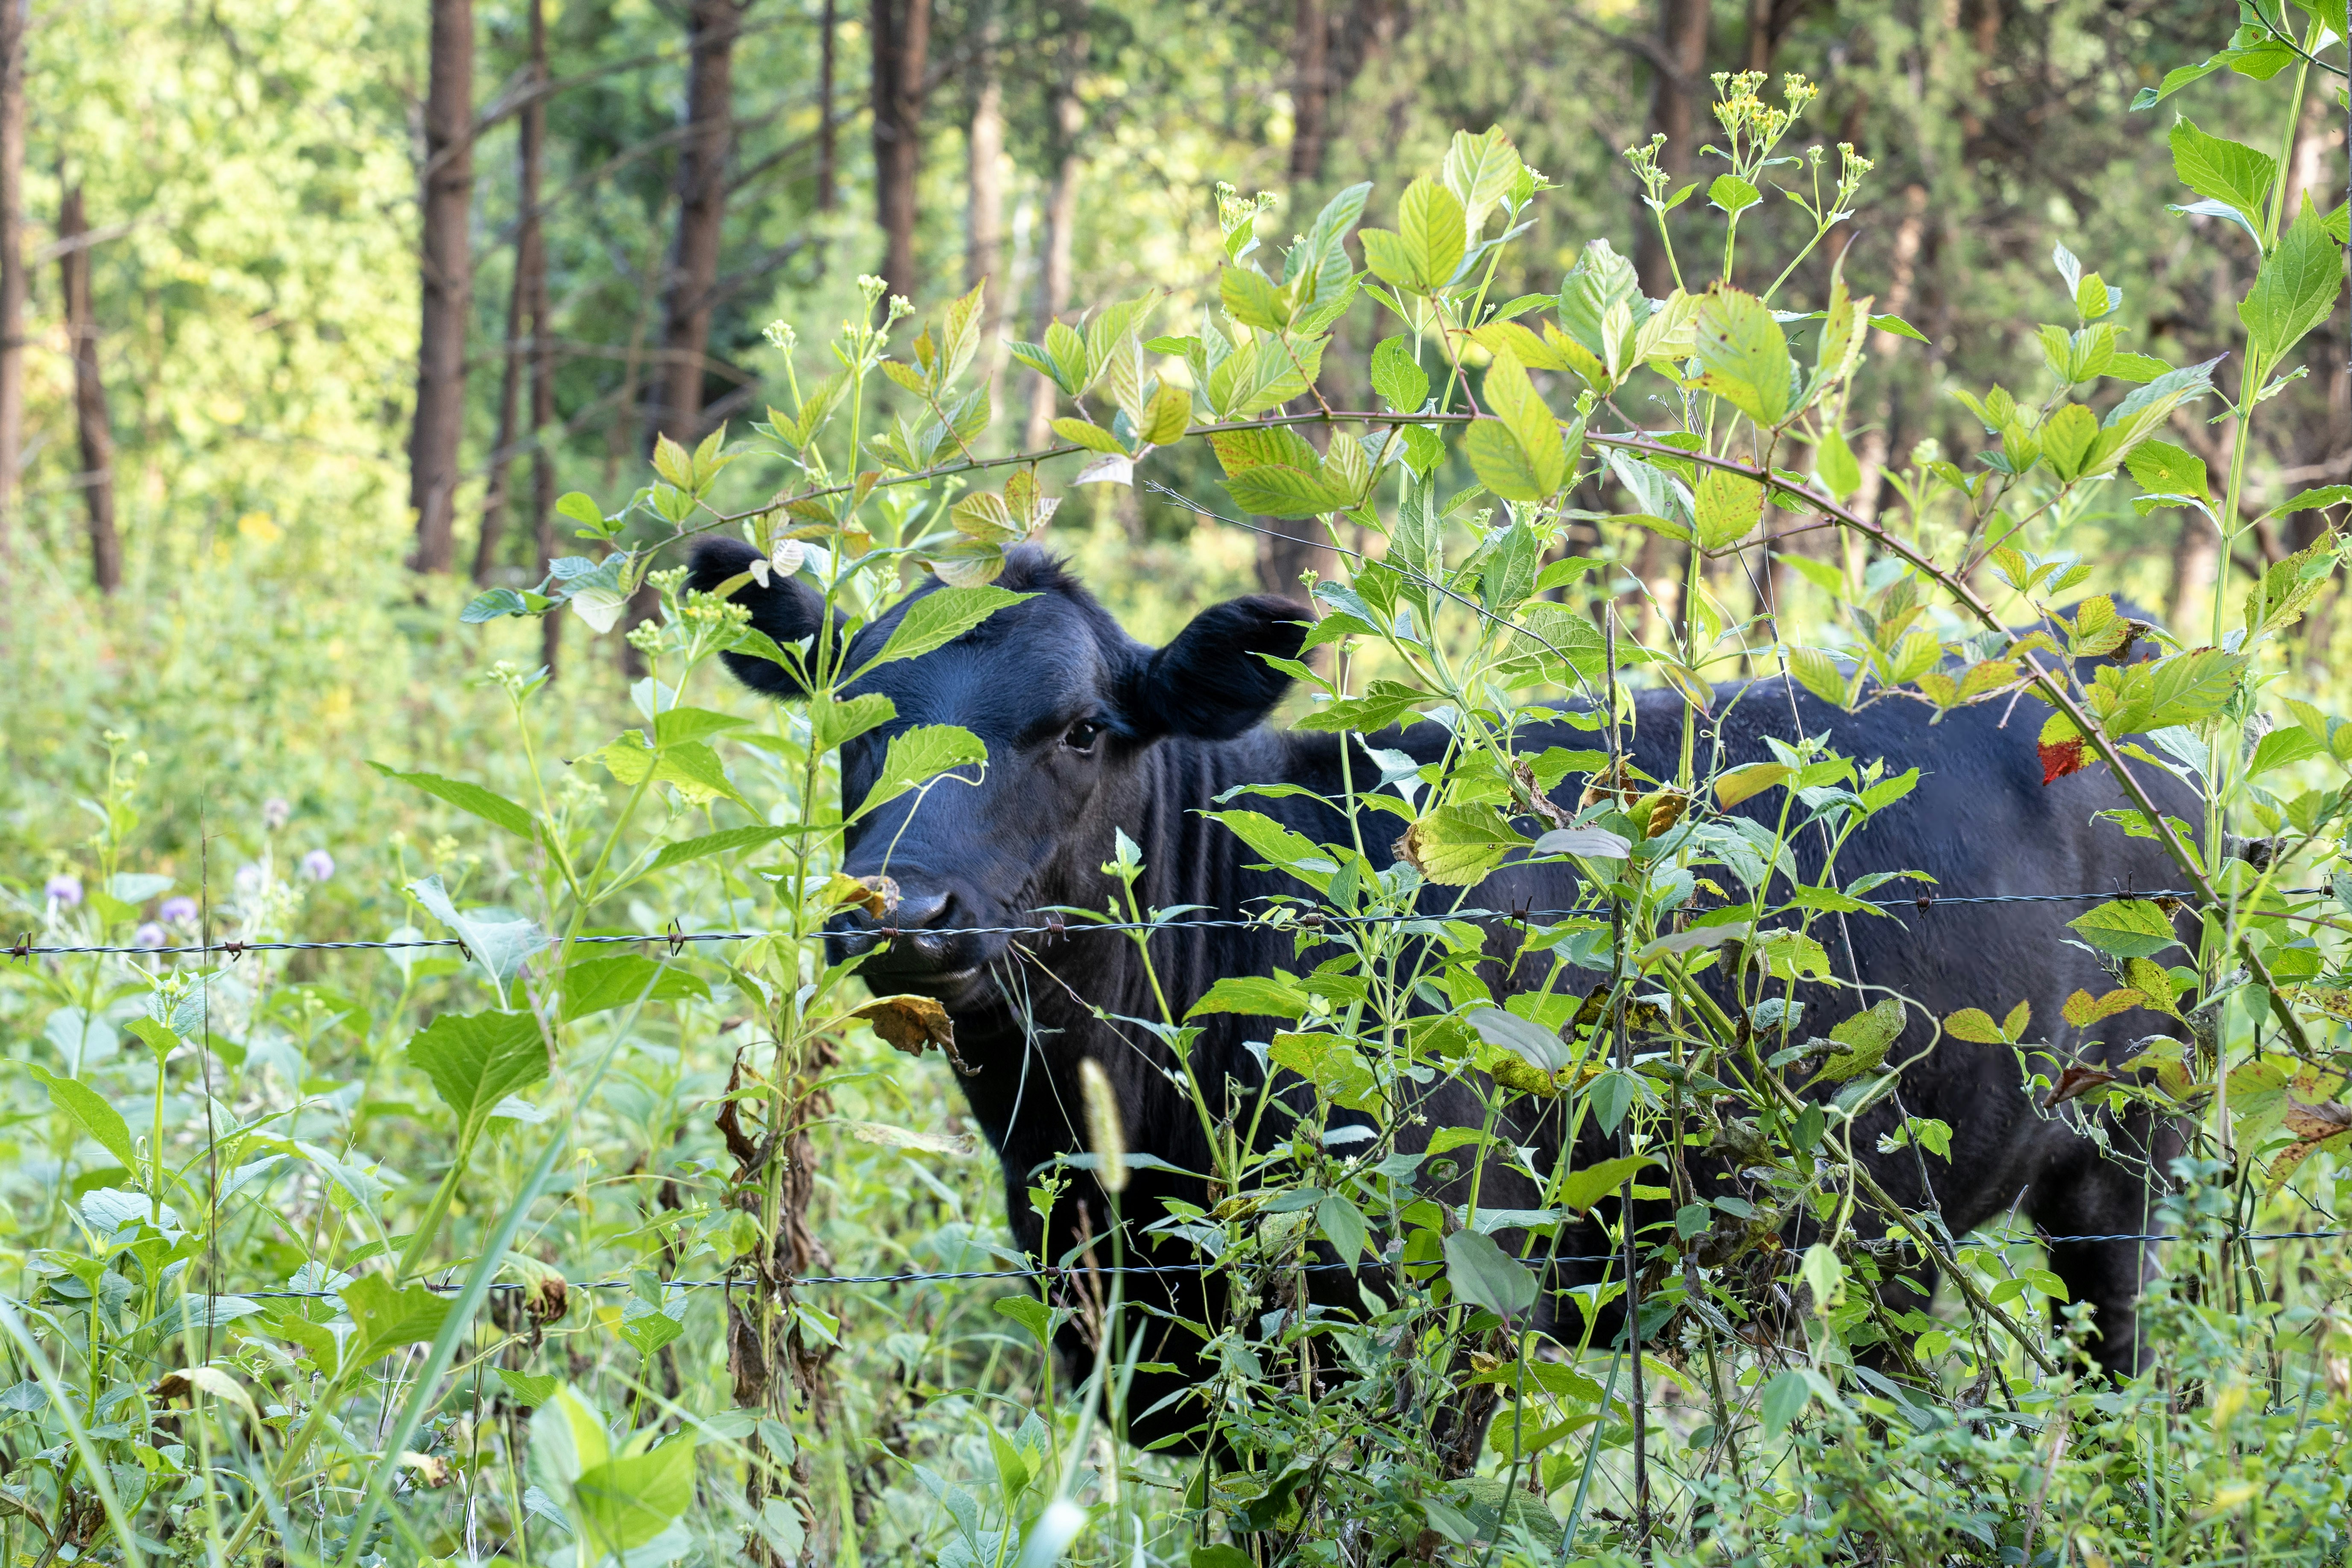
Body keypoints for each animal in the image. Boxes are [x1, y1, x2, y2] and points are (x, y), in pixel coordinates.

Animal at [688, 536, 2189, 1446]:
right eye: (844, 718)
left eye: (1082, 728)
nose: (901, 910)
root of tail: (2090, 642)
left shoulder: (1447, 1308)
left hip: (2122, 1155)